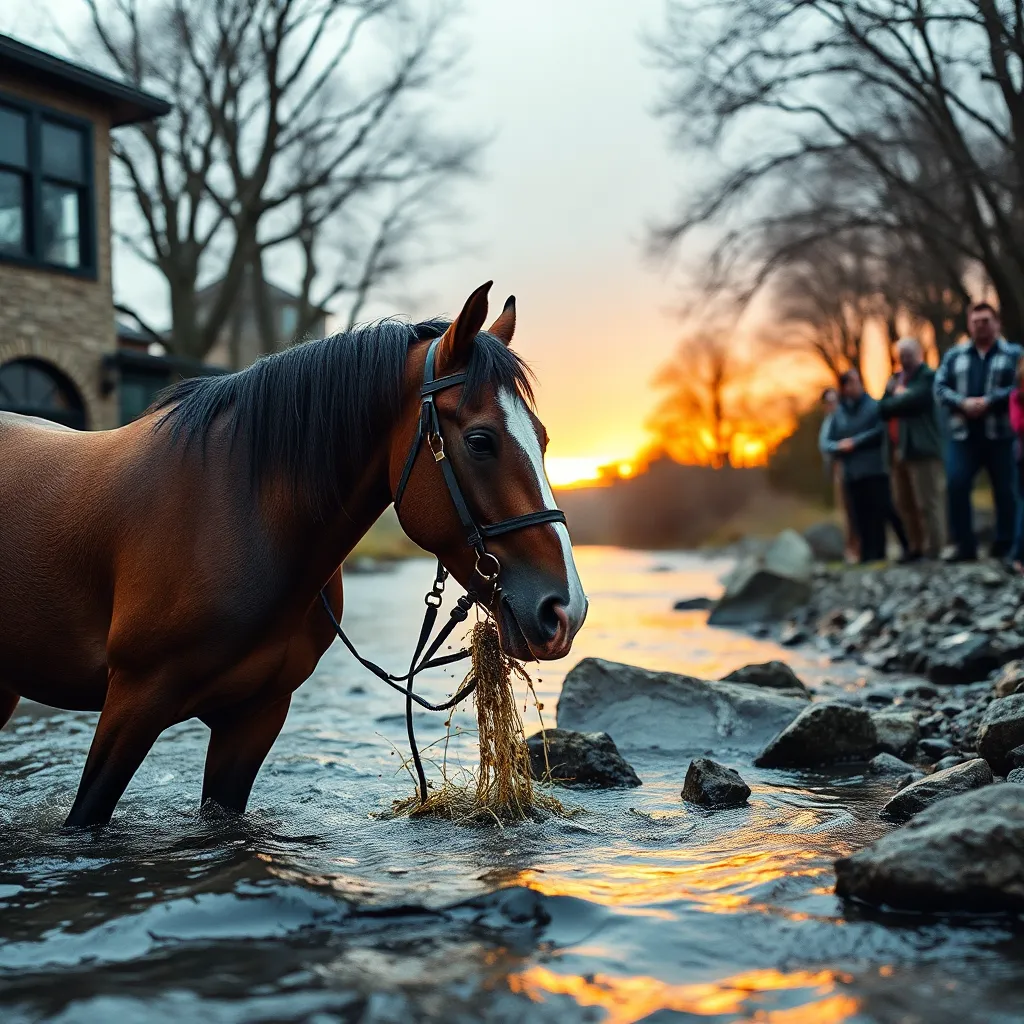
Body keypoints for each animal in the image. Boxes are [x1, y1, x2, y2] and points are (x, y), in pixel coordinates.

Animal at [0, 282, 587, 827]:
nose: (566, 610)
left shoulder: (255, 718)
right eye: (481, 440)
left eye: (542, 438)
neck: (237, 513)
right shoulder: (132, 700)